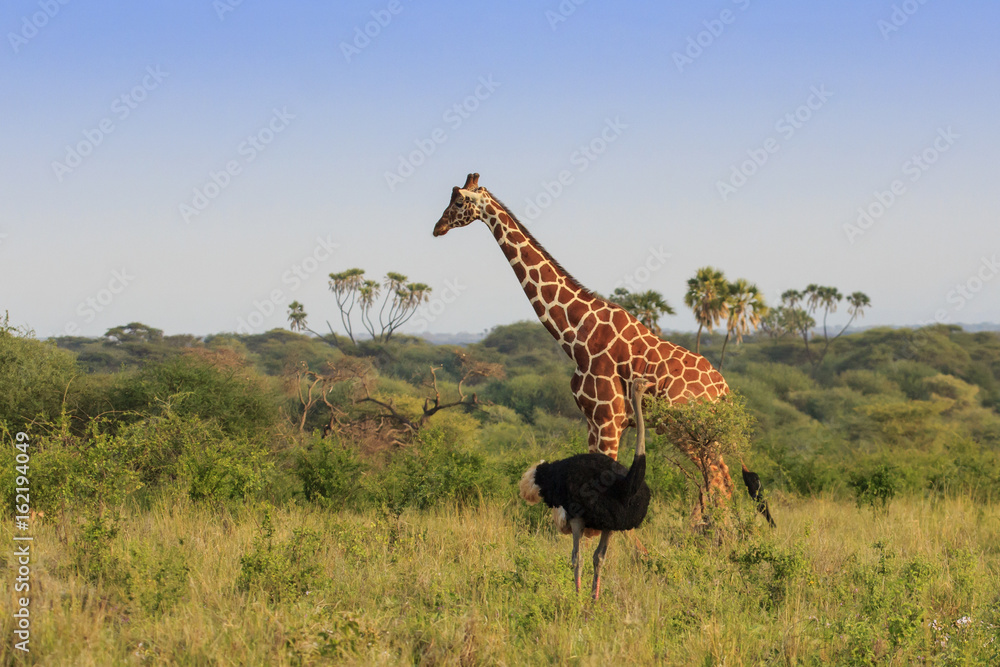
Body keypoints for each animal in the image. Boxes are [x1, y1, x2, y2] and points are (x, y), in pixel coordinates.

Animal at [433, 173, 735, 517]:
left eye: (459, 201)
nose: (438, 227)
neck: (577, 336)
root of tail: (723, 390)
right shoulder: (593, 422)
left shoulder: (609, 421)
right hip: (698, 434)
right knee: (722, 479)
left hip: (690, 431)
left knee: (718, 480)